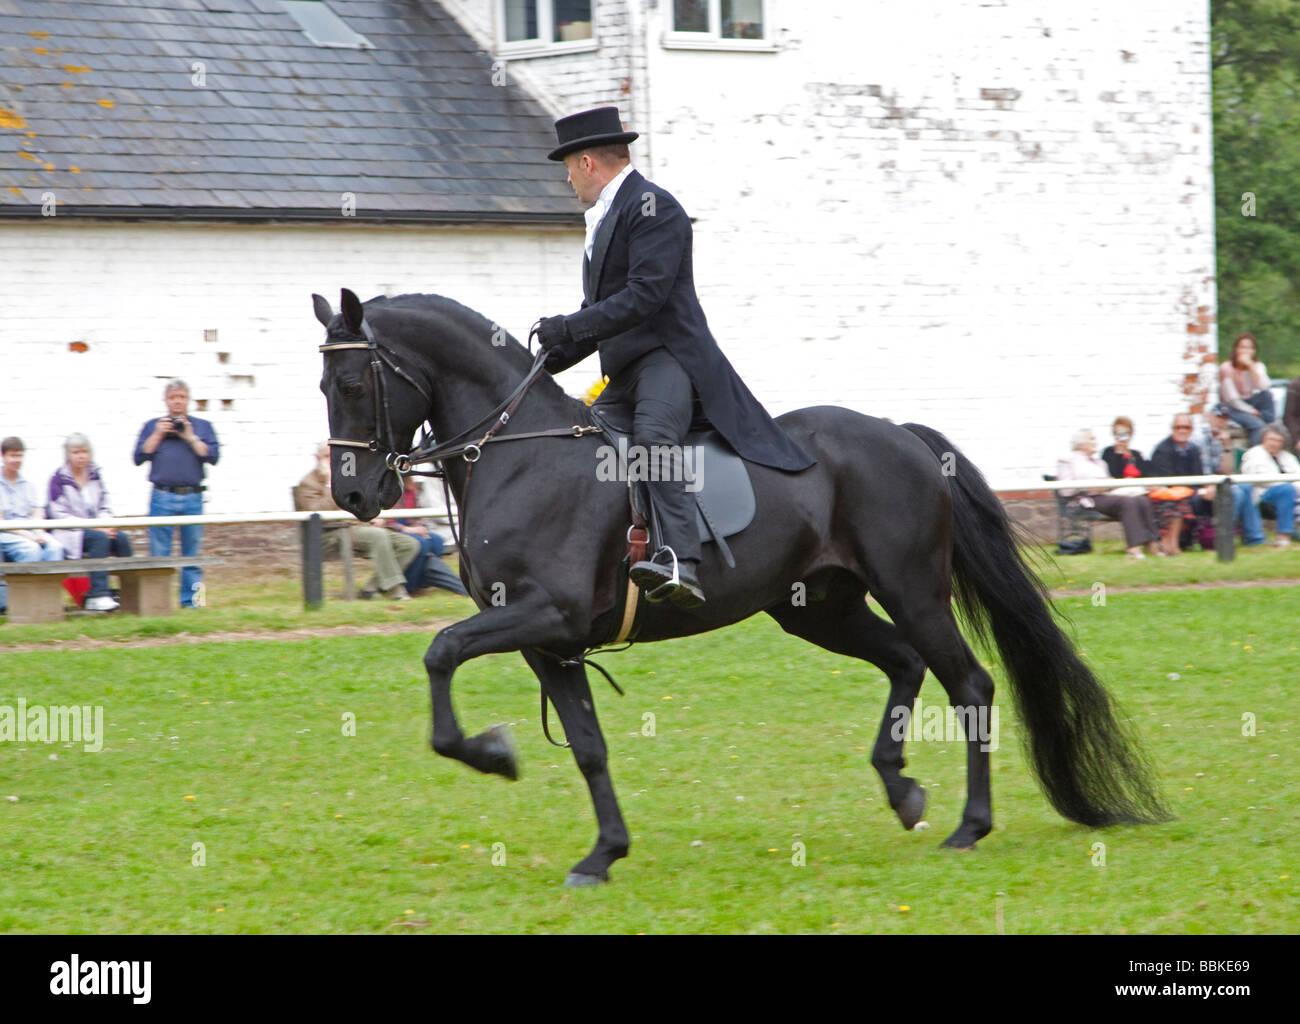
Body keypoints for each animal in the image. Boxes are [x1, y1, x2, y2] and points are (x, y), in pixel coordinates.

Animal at [312, 287, 1170, 887]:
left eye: (354, 381)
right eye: (324, 384)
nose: (353, 495)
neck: (519, 450)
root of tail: (898, 433)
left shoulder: (542, 614)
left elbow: (440, 652)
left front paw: (493, 755)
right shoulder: (549, 642)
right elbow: (587, 746)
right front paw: (602, 853)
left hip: (912, 589)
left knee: (969, 683)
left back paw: (970, 824)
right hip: (819, 607)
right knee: (904, 664)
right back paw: (902, 791)